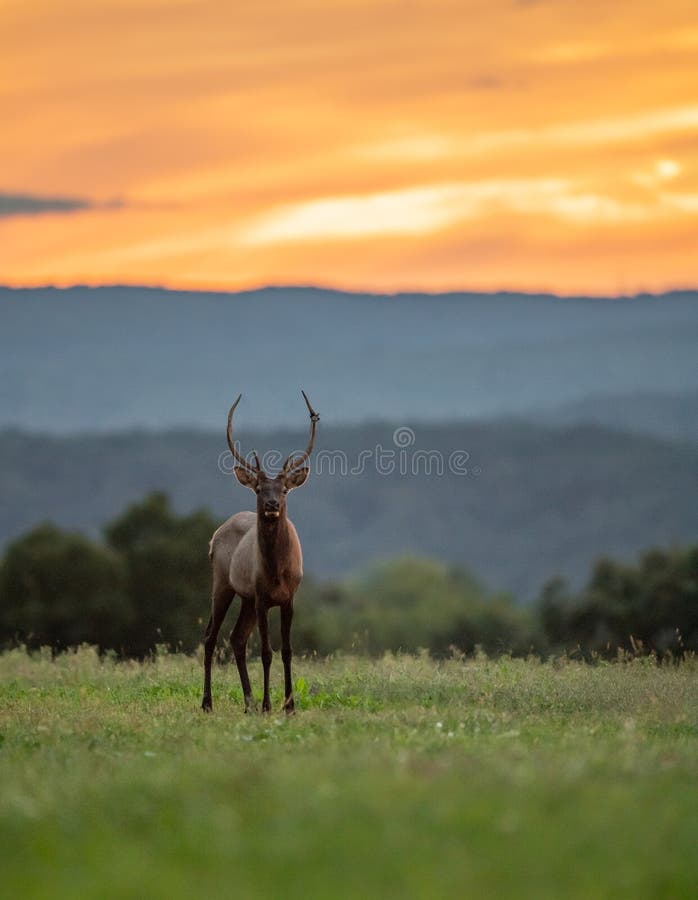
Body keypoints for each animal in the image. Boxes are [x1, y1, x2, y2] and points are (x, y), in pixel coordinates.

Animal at [201, 390, 319, 715]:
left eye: (284, 489)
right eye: (258, 489)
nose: (271, 504)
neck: (277, 571)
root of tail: (214, 537)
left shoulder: (289, 597)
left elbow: (287, 650)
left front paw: (289, 706)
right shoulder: (263, 597)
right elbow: (267, 651)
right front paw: (270, 705)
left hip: (246, 598)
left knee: (236, 638)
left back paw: (249, 703)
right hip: (223, 584)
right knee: (210, 637)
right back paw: (208, 703)